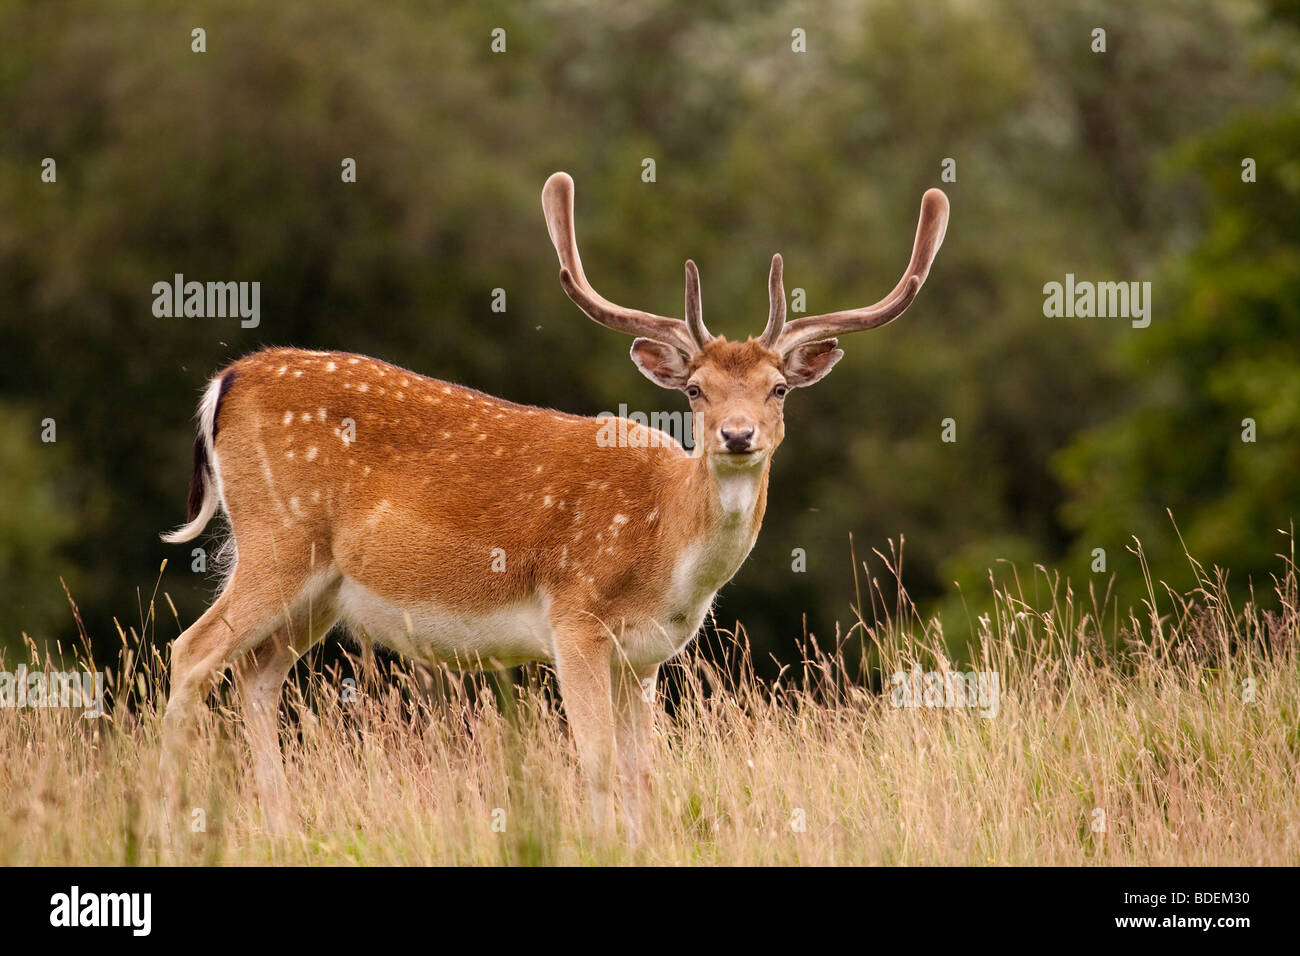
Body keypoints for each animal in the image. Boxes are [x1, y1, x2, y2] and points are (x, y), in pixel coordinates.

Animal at [159, 172, 949, 841]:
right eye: (695, 390)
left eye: (778, 389)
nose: (736, 435)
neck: (666, 554)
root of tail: (226, 380)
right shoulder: (576, 616)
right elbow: (595, 763)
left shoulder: (645, 657)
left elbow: (643, 772)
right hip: (277, 536)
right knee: (190, 652)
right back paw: (169, 824)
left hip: (321, 587)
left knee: (257, 674)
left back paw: (284, 832)